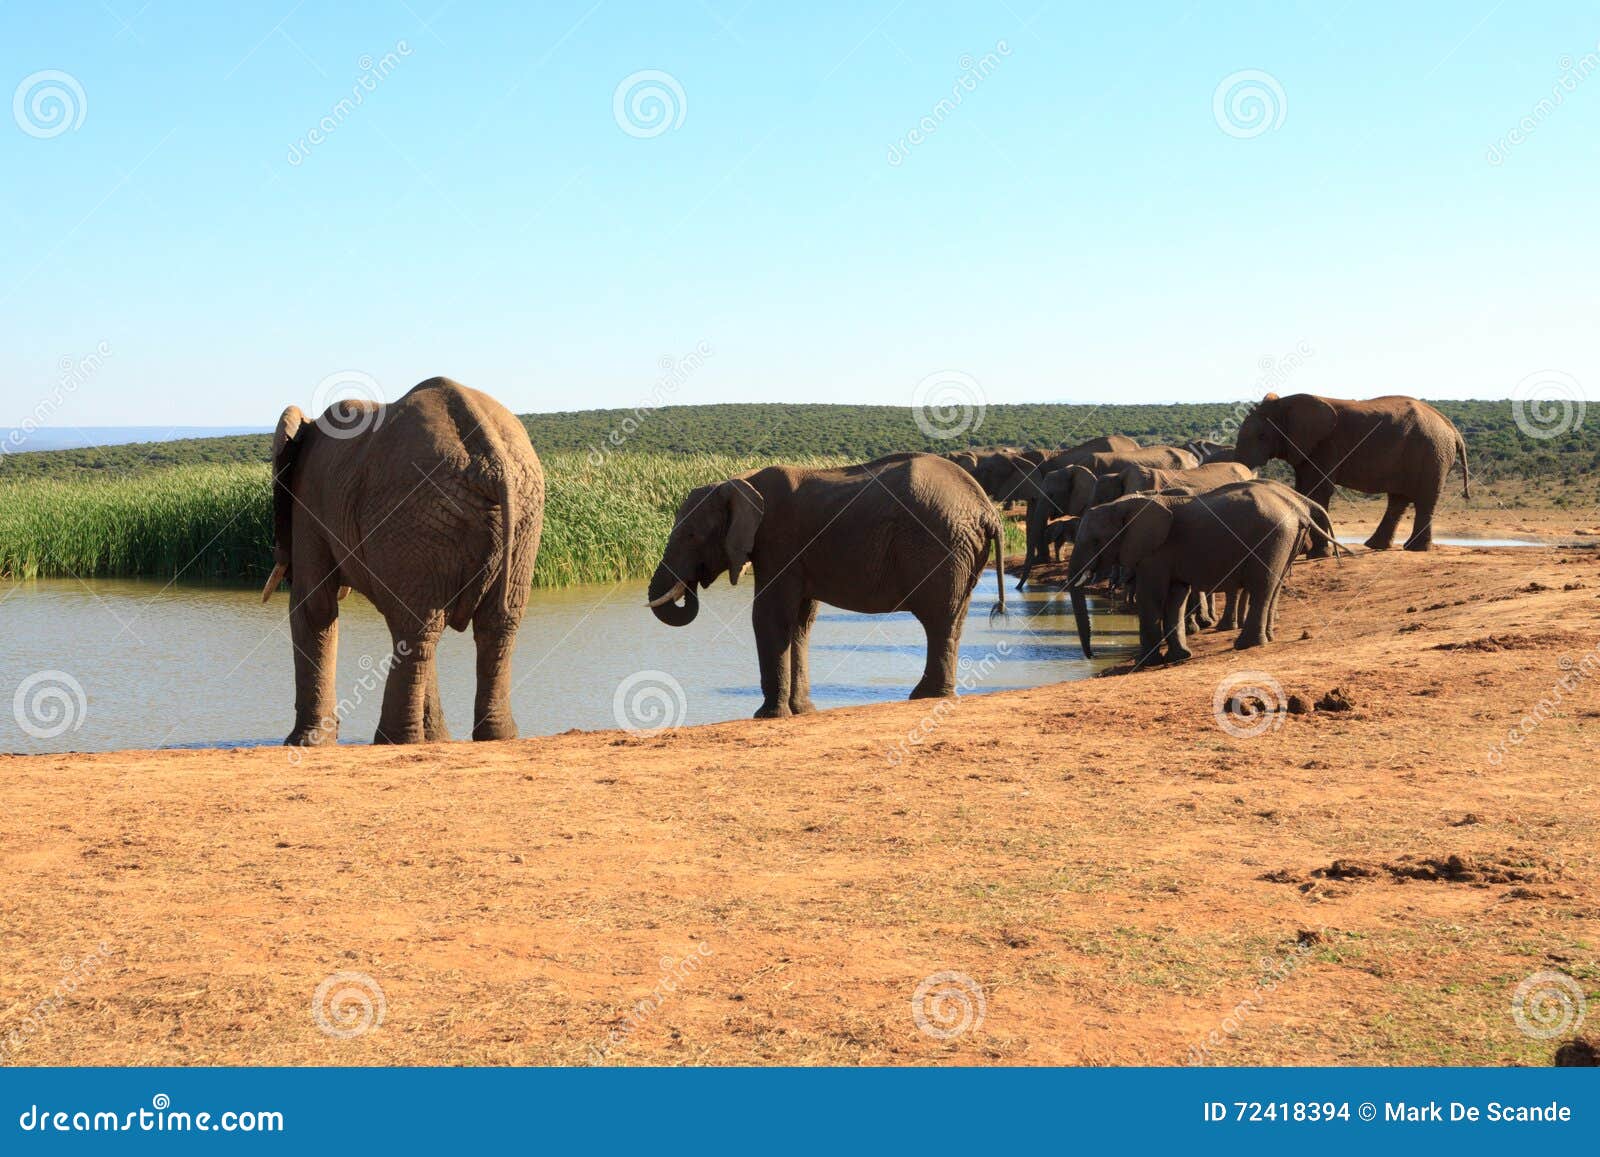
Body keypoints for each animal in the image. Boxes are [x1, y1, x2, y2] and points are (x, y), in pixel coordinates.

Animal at [262, 377, 544, 746]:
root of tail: (492, 458)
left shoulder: (309, 502)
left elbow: (314, 607)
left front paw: (302, 743)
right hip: (512, 517)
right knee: (482, 626)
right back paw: (492, 737)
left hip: (418, 514)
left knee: (416, 626)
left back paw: (392, 740)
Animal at [646, 452, 1006, 717]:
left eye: (690, 535)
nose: (690, 585)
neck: (740, 481)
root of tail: (988, 510)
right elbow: (801, 622)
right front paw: (802, 711)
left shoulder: (779, 542)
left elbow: (769, 616)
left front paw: (767, 716)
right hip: (961, 552)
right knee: (953, 618)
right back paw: (929, 695)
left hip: (942, 544)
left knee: (938, 619)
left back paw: (923, 696)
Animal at [1065, 480, 1339, 669]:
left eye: (1096, 540)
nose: (1092, 656)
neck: (1124, 504)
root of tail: (1297, 508)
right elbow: (1175, 598)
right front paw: (1180, 657)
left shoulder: (1156, 552)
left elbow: (1151, 597)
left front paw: (1145, 663)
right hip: (1284, 540)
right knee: (1272, 586)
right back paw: (1262, 639)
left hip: (1272, 539)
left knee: (1262, 586)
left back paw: (1245, 644)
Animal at [1233, 393, 1469, 552]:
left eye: (1262, 436)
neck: (1284, 404)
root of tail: (1452, 428)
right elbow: (1302, 490)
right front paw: (1305, 551)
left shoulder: (1325, 445)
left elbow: (1318, 491)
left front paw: (1318, 554)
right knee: (1398, 499)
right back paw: (1377, 545)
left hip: (1431, 453)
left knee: (1425, 500)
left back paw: (1415, 549)